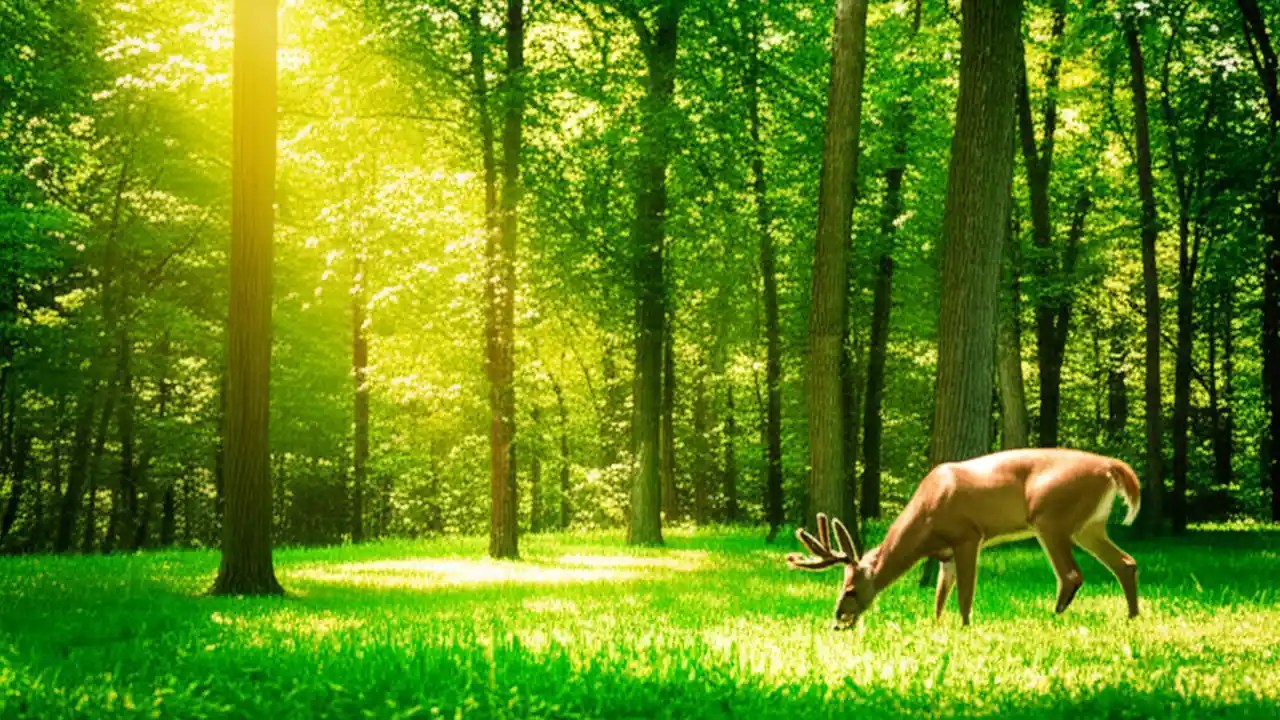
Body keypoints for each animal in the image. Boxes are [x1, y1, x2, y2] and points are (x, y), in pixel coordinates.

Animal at [786, 448, 1141, 629]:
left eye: (850, 589)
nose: (838, 621)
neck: (926, 521)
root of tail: (1112, 466)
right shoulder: (945, 554)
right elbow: (940, 597)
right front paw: (937, 626)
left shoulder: (968, 536)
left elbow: (965, 594)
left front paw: (965, 627)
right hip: (1090, 525)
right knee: (1126, 562)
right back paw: (1132, 618)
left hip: (1051, 517)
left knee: (1070, 574)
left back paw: (1054, 619)